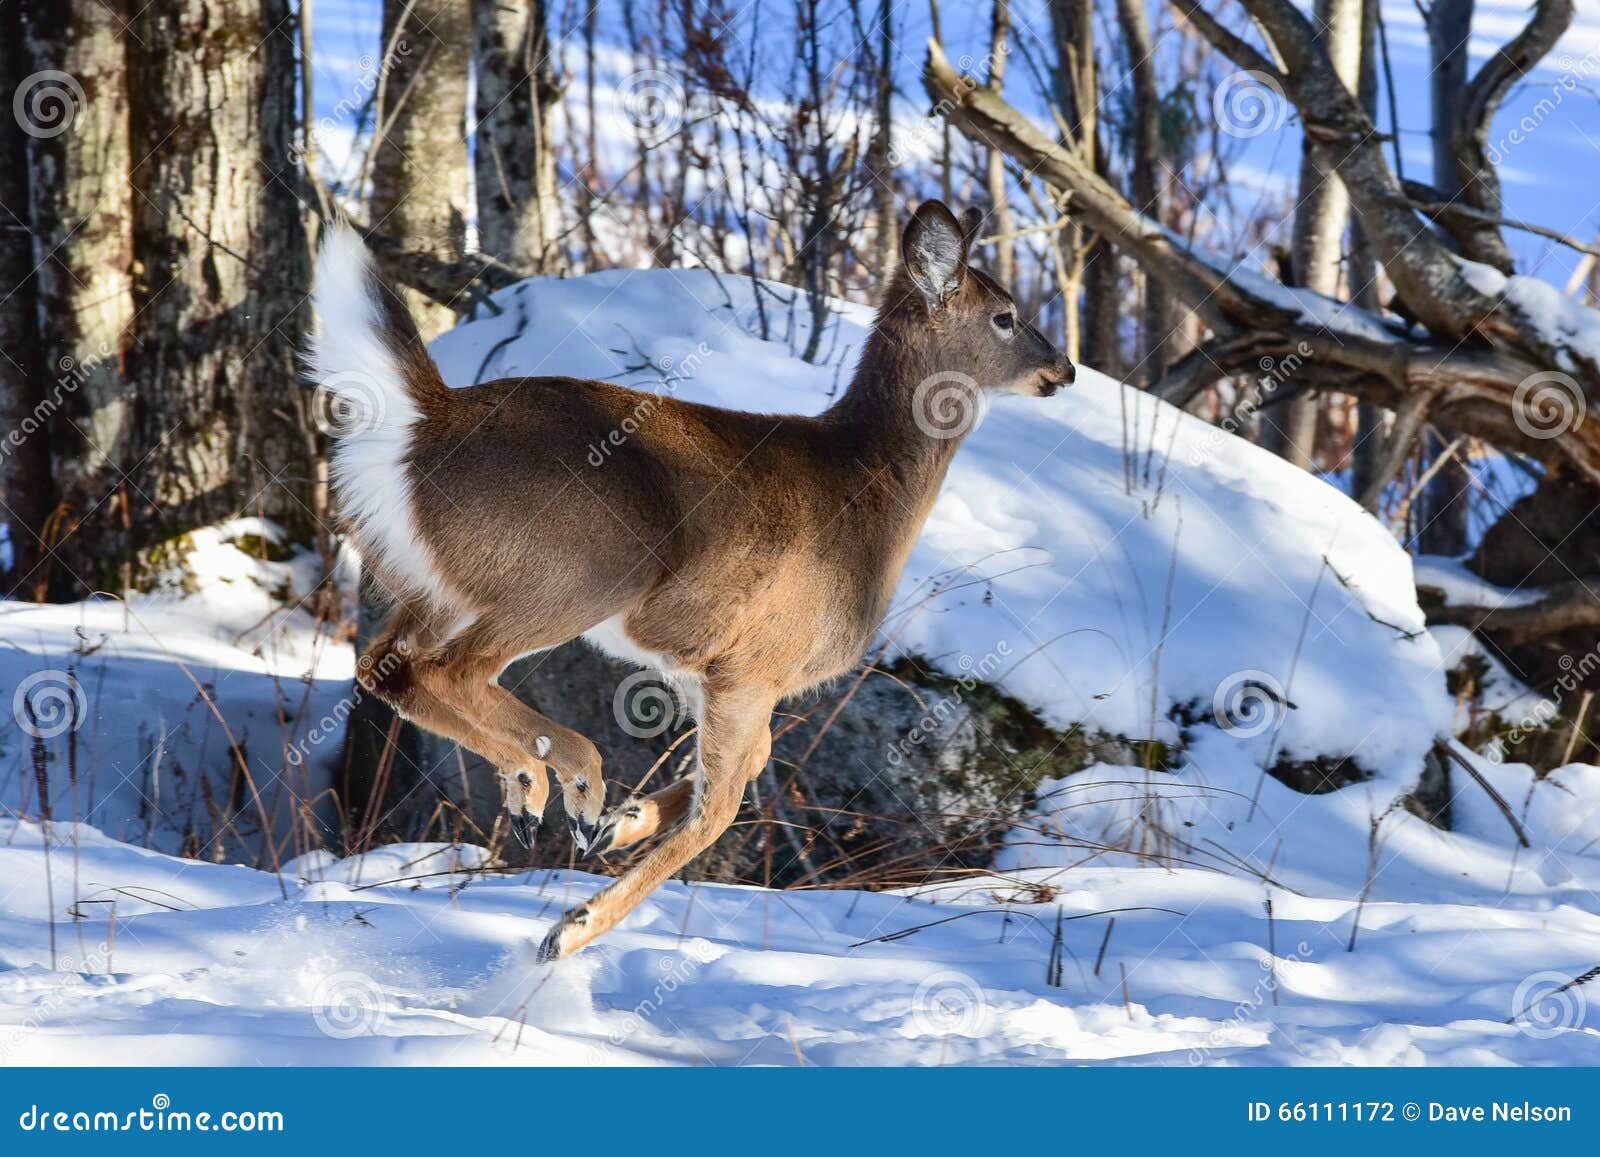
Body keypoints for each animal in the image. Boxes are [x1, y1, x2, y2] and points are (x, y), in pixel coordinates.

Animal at [307, 201, 1074, 961]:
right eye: (1005, 315)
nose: (1063, 369)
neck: (866, 489)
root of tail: (429, 419)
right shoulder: (753, 666)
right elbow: (722, 807)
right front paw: (576, 920)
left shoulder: (705, 667)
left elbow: (751, 764)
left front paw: (625, 823)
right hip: (572, 576)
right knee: (457, 671)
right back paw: (570, 790)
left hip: (436, 589)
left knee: (386, 667)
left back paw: (540, 797)